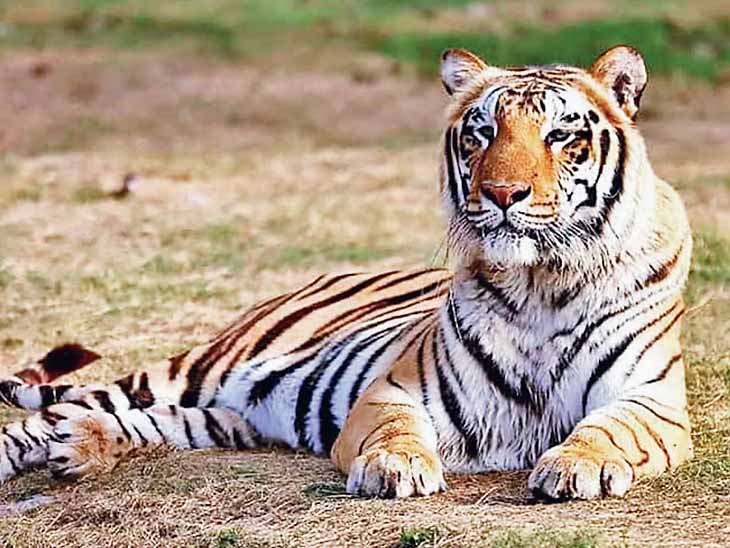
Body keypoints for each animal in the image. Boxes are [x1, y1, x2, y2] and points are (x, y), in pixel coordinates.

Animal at [0, 45, 692, 501]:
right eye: (481, 133)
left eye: (560, 136)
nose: (501, 194)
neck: (541, 281)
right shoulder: (396, 389)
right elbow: (394, 429)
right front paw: (396, 469)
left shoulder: (652, 399)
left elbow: (611, 427)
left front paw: (576, 465)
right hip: (189, 373)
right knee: (41, 419)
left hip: (217, 418)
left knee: (129, 424)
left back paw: (81, 450)